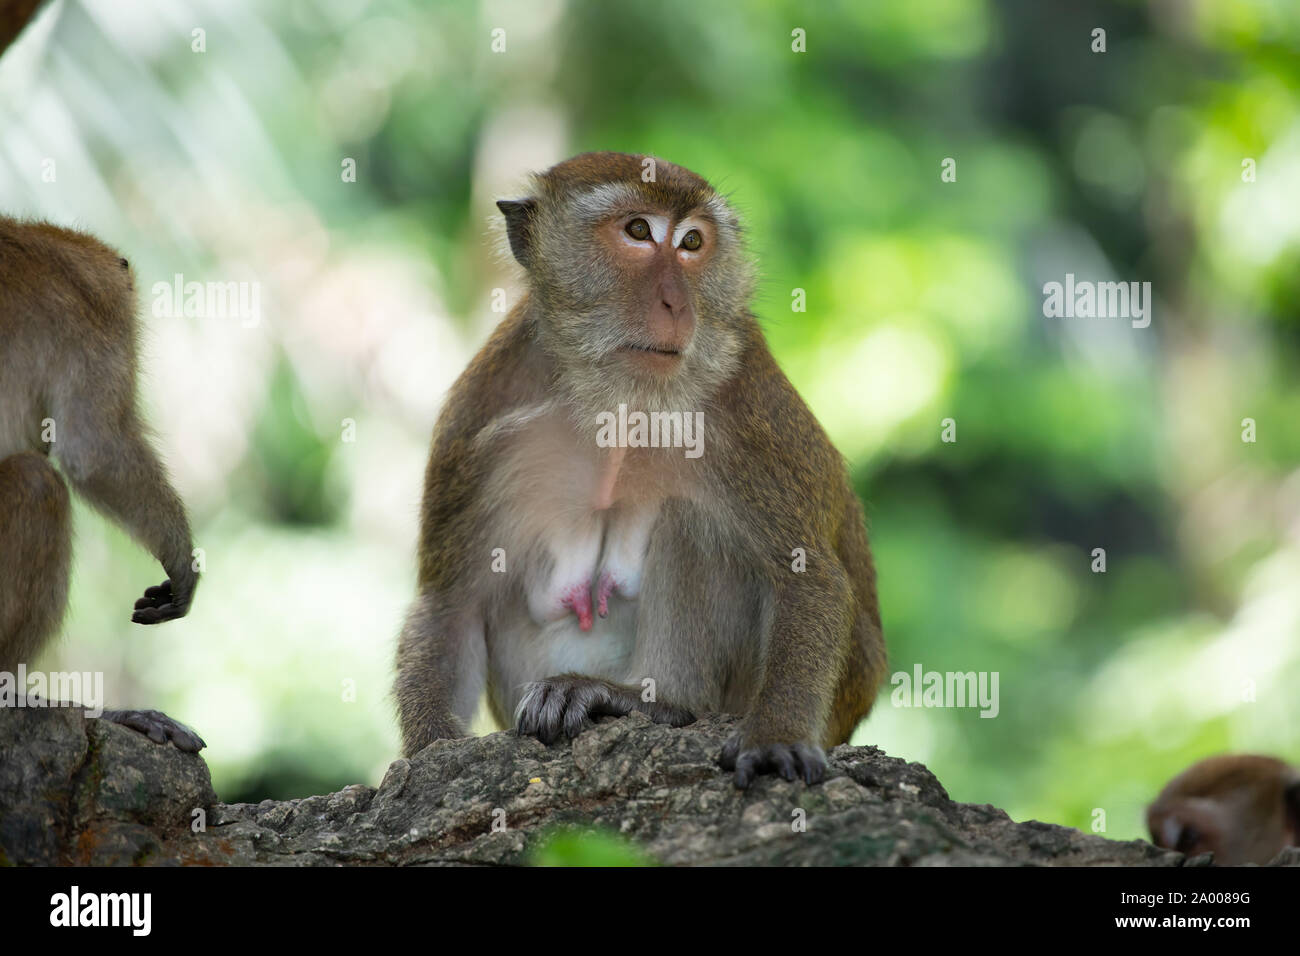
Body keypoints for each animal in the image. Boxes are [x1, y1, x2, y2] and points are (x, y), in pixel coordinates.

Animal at [395, 152, 886, 787]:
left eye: (692, 242)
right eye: (637, 231)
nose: (677, 303)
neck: (618, 402)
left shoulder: (745, 412)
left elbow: (807, 577)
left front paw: (775, 736)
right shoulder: (480, 418)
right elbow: (450, 604)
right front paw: (429, 758)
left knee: (693, 523)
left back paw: (653, 702)